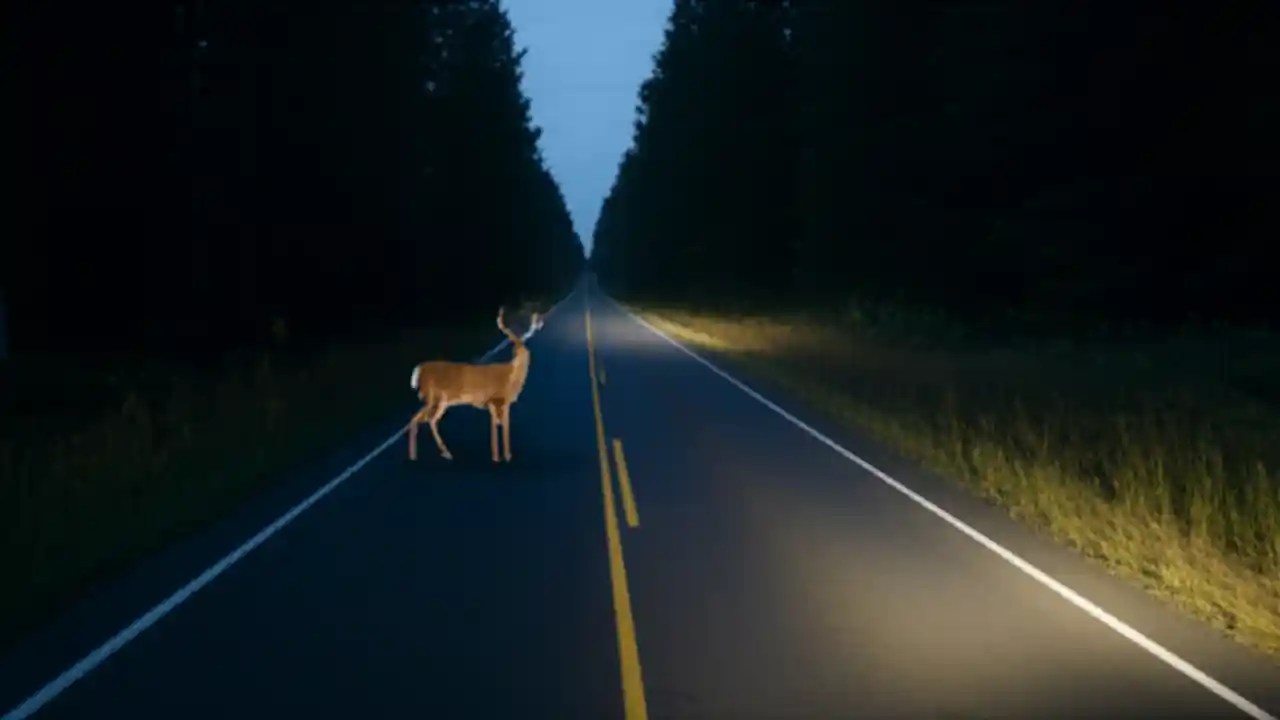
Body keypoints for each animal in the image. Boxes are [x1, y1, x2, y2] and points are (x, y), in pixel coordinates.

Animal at [407, 307, 544, 464]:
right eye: (515, 349)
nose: (521, 353)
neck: (511, 375)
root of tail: (418, 371)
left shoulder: (496, 404)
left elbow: (499, 425)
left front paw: (500, 457)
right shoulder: (496, 401)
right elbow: (501, 427)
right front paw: (504, 457)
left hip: (437, 401)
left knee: (420, 419)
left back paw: (420, 455)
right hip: (435, 398)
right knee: (426, 420)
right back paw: (442, 453)